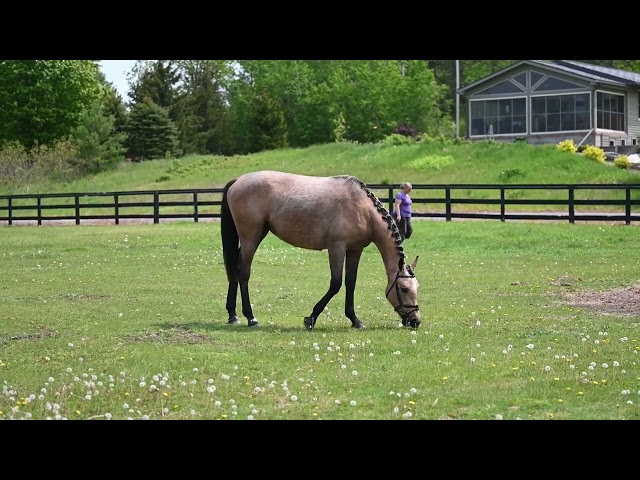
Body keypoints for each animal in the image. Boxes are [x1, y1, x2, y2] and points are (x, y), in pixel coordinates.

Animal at [220, 170, 421, 330]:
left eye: (417, 287)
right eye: (403, 289)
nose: (415, 321)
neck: (362, 209)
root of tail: (238, 181)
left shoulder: (355, 250)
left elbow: (350, 282)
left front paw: (355, 320)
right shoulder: (337, 248)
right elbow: (336, 284)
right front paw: (311, 318)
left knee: (235, 270)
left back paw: (233, 315)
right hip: (251, 238)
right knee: (243, 272)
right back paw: (250, 317)